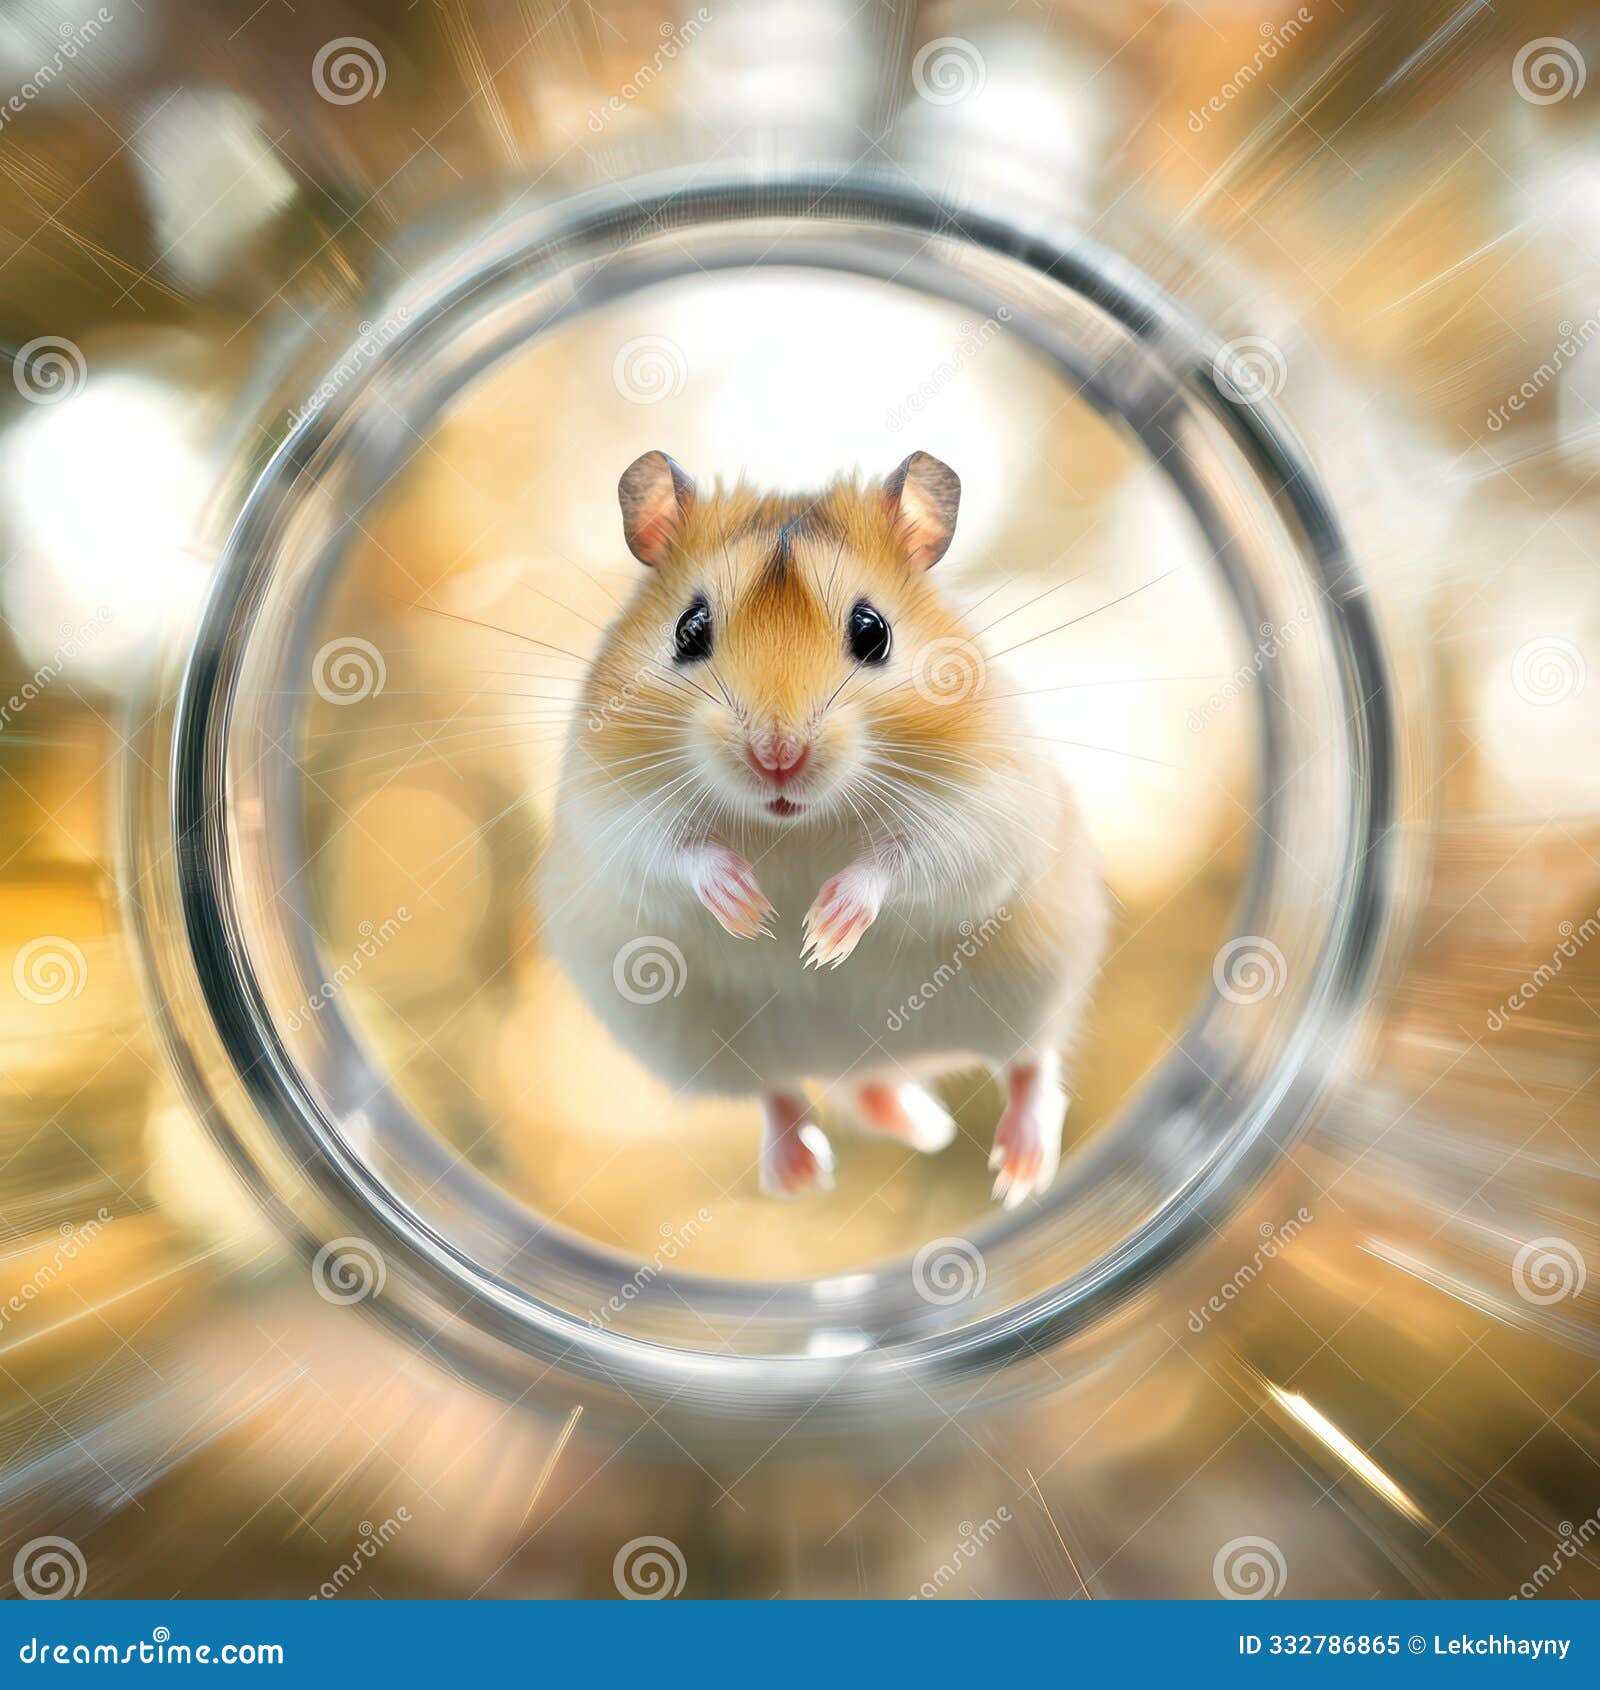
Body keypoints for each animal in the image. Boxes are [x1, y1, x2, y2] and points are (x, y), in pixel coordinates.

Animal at [539, 449, 1108, 1206]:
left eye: (872, 632)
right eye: (689, 630)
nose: (776, 758)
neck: (794, 826)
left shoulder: (982, 809)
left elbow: (898, 862)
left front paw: (821, 938)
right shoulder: (607, 811)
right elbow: (675, 852)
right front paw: (751, 912)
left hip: (1039, 977)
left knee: (1031, 1065)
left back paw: (1015, 1173)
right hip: (704, 1045)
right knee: (793, 1092)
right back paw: (823, 1169)